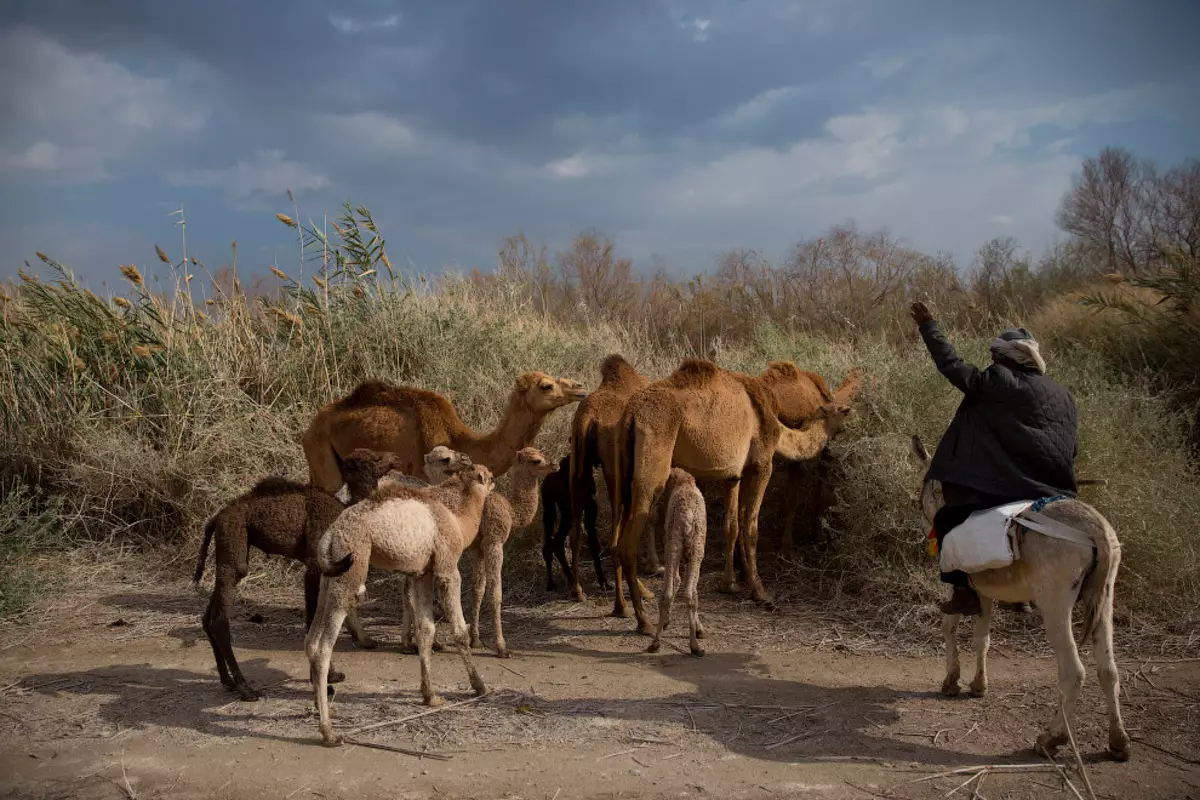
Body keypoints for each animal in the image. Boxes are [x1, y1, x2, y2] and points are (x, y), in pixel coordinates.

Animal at [193, 450, 398, 700]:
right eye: (376, 459)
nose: (395, 458)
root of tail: (216, 518)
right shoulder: (315, 565)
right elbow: (312, 619)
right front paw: (322, 681)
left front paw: (332, 675)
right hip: (234, 539)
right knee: (220, 619)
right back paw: (246, 688)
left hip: (228, 545)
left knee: (208, 616)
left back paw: (227, 681)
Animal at [312, 465, 499, 748]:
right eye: (487, 476)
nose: (496, 481)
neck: (458, 516)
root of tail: (331, 534)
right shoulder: (447, 569)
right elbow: (459, 632)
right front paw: (480, 686)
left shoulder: (423, 573)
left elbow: (426, 630)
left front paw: (430, 695)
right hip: (352, 564)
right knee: (324, 648)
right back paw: (329, 733)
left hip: (330, 575)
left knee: (311, 641)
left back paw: (321, 709)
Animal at [424, 443, 559, 657]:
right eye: (536, 460)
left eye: (541, 452)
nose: (555, 464)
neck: (511, 511)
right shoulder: (494, 542)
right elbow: (495, 593)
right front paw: (502, 647)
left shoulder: (479, 548)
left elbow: (478, 589)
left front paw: (476, 640)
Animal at [912, 434, 1128, 762]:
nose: (926, 525)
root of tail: (1096, 529)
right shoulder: (984, 592)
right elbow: (982, 638)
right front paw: (978, 685)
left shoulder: (960, 584)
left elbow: (949, 626)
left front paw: (952, 681)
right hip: (1105, 600)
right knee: (1108, 670)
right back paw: (1118, 742)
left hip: (1054, 603)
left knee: (1073, 672)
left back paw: (1051, 739)